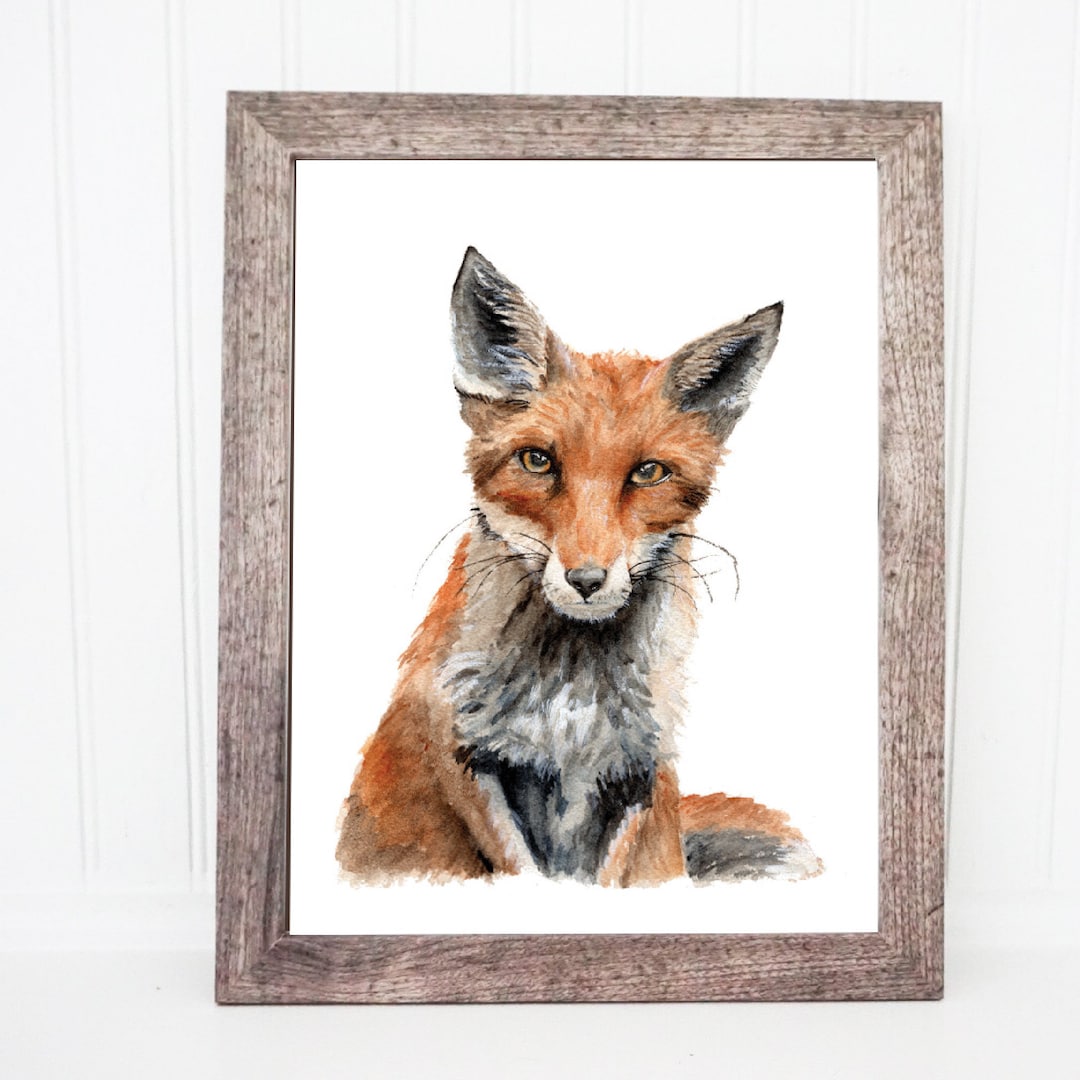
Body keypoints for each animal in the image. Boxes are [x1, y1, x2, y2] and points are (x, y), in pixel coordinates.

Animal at [335, 247, 822, 887]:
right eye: (537, 461)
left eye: (648, 472)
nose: (586, 581)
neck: (571, 696)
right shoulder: (469, 762)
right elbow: (522, 872)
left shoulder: (637, 777)